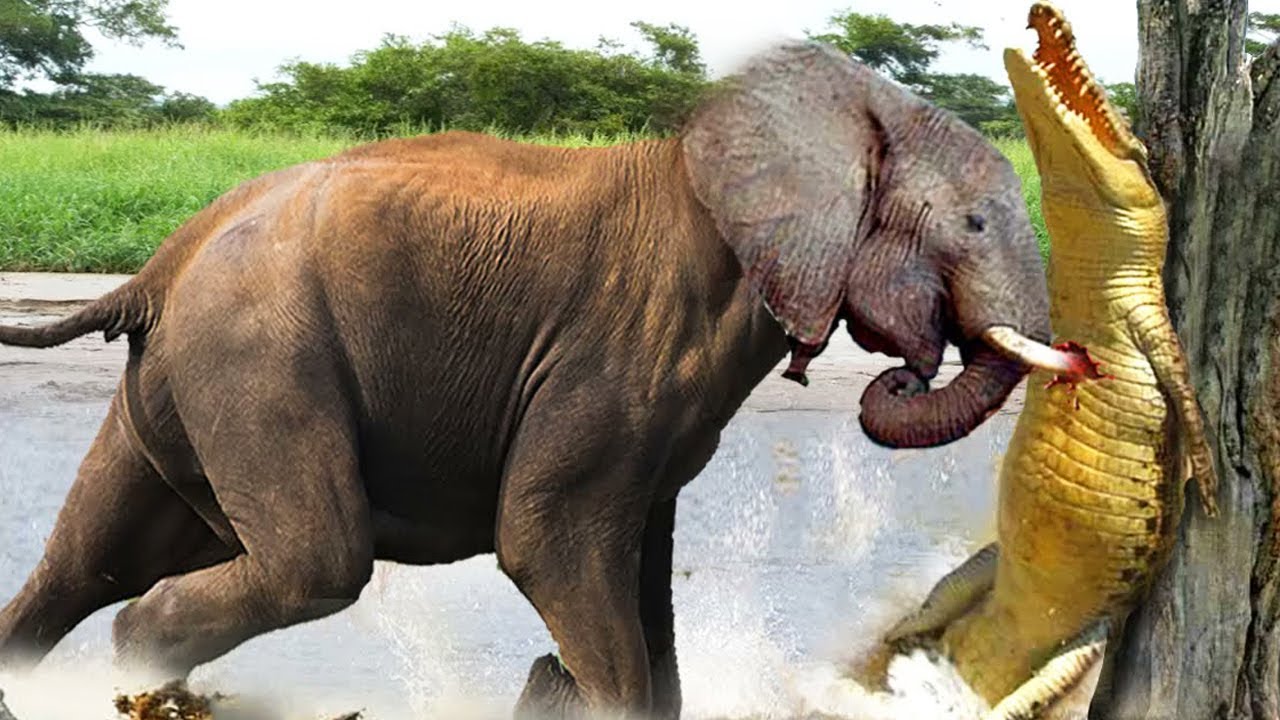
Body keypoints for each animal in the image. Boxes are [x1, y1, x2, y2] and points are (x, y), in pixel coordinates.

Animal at [0, 41, 1071, 719]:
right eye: (975, 223)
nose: (898, 373)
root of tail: (161, 266)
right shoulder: (615, 350)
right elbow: (548, 538)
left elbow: (638, 566)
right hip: (259, 356)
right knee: (307, 562)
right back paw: (140, 675)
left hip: (191, 376)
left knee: (86, 562)